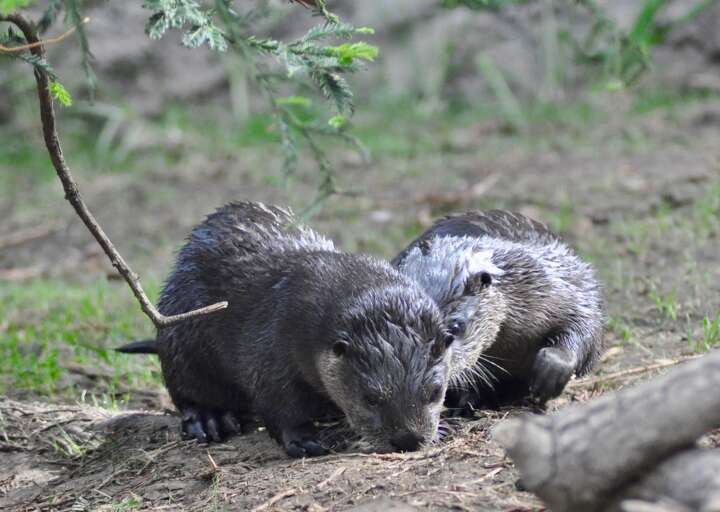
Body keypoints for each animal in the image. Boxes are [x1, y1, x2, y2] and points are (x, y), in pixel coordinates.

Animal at [118, 202, 453, 457]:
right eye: (370, 397)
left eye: (436, 391)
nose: (408, 439)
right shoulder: (271, 343)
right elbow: (276, 400)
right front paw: (303, 439)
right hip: (181, 335)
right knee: (186, 389)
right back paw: (210, 419)